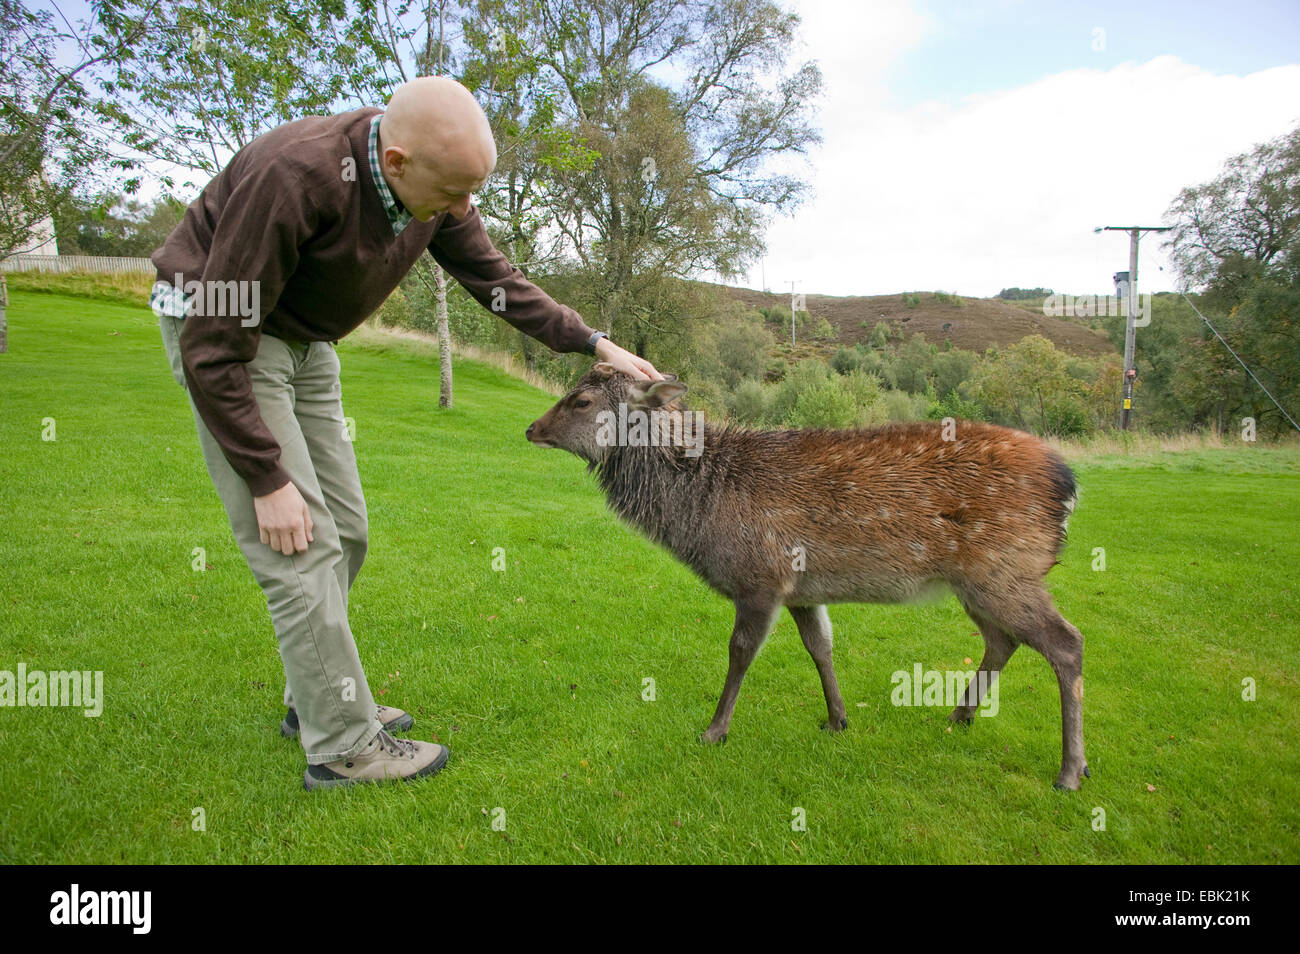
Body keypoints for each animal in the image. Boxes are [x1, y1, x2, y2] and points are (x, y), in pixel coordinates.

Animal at [526, 363, 1089, 790]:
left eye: (581, 400)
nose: (531, 429)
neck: (700, 512)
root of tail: (1068, 485)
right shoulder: (801, 587)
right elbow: (820, 645)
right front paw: (838, 719)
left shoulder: (760, 578)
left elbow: (740, 652)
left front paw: (714, 730)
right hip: (978, 582)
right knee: (1003, 639)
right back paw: (960, 716)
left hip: (1007, 569)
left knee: (1066, 642)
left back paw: (1070, 770)